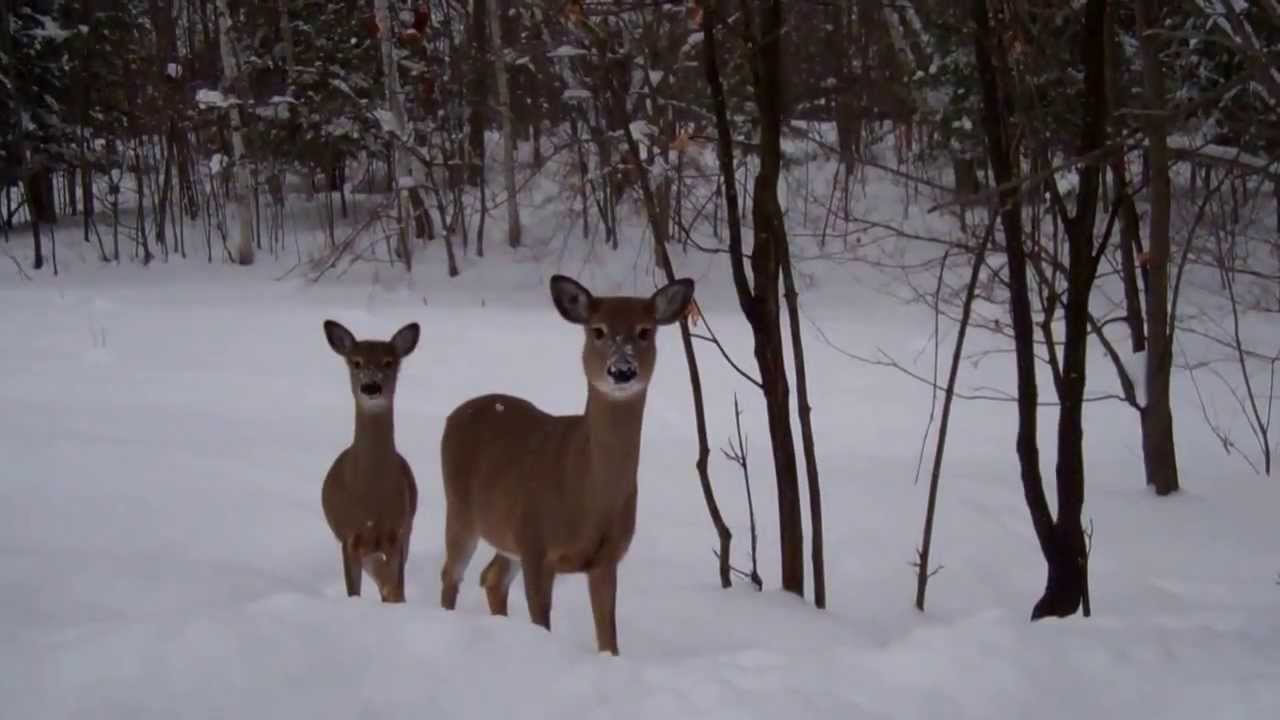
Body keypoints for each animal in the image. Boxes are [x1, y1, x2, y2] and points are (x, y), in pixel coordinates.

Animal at [321, 319, 421, 603]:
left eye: (389, 362)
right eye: (356, 362)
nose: (371, 387)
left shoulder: (397, 533)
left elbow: (395, 589)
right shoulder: (348, 536)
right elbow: (353, 591)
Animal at [437, 274, 695, 655]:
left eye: (645, 331)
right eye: (598, 330)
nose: (622, 370)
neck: (587, 496)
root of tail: (457, 413)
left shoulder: (606, 557)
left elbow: (608, 637)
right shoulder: (536, 544)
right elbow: (541, 620)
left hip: (505, 532)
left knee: (492, 577)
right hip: (460, 509)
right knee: (452, 574)